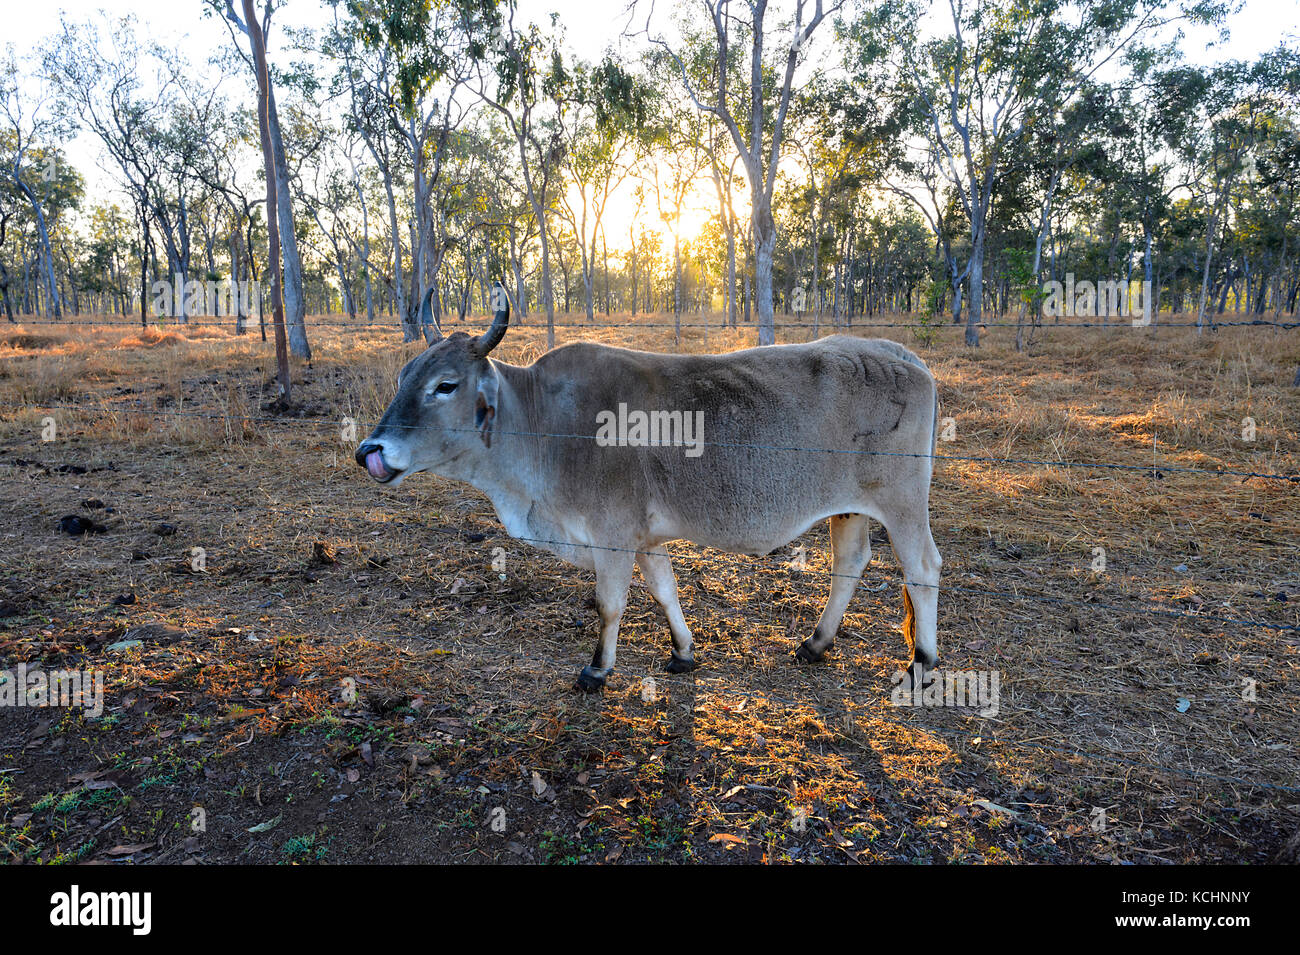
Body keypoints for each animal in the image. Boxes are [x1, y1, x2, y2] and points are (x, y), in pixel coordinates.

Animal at [356, 284, 941, 692]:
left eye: (445, 385)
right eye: (405, 376)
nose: (369, 451)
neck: (544, 422)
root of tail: (900, 354)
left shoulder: (612, 536)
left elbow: (609, 604)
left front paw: (597, 671)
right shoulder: (644, 537)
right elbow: (664, 590)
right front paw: (684, 652)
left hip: (903, 503)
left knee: (922, 569)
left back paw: (923, 661)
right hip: (850, 508)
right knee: (851, 563)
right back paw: (816, 644)